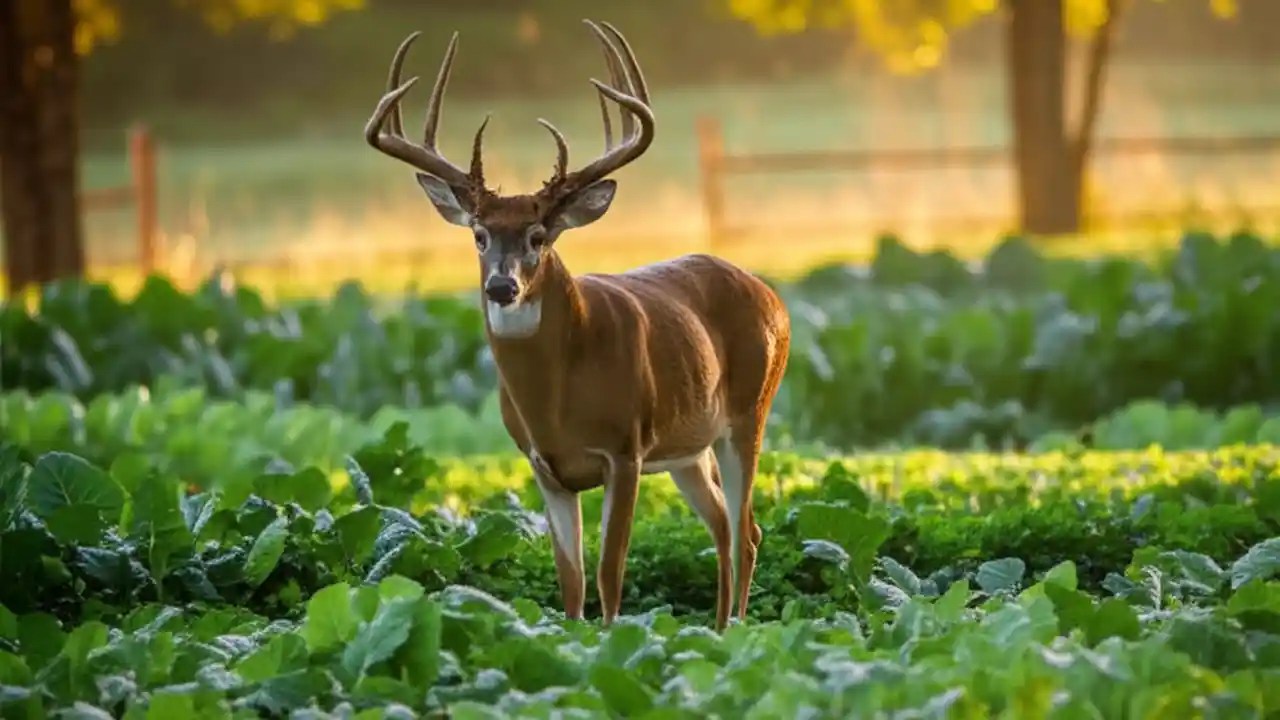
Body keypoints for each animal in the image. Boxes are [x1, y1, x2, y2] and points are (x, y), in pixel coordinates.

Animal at [363, 19, 790, 631]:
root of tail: (771, 294)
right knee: (725, 525)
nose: (501, 287)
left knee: (747, 528)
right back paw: (713, 630)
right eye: (479, 234)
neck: (557, 400)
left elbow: (611, 573)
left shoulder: (626, 448)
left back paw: (733, 629)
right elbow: (572, 581)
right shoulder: (542, 465)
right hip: (690, 447)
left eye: (539, 235)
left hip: (749, 411)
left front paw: (612, 642)